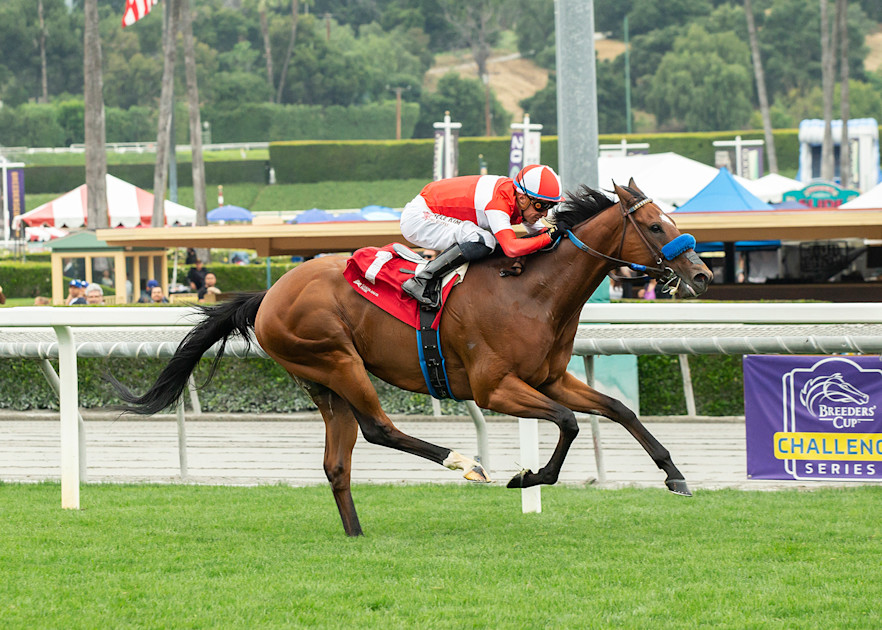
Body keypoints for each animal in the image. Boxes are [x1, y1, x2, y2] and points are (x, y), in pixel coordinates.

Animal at [108, 180, 713, 537]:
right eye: (655, 226)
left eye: (672, 220)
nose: (703, 274)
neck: (534, 290)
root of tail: (269, 295)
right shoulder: (496, 388)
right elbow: (568, 423)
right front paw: (527, 476)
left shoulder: (551, 378)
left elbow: (618, 410)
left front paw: (676, 476)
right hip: (337, 360)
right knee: (379, 429)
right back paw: (465, 463)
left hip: (321, 381)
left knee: (337, 462)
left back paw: (356, 535)